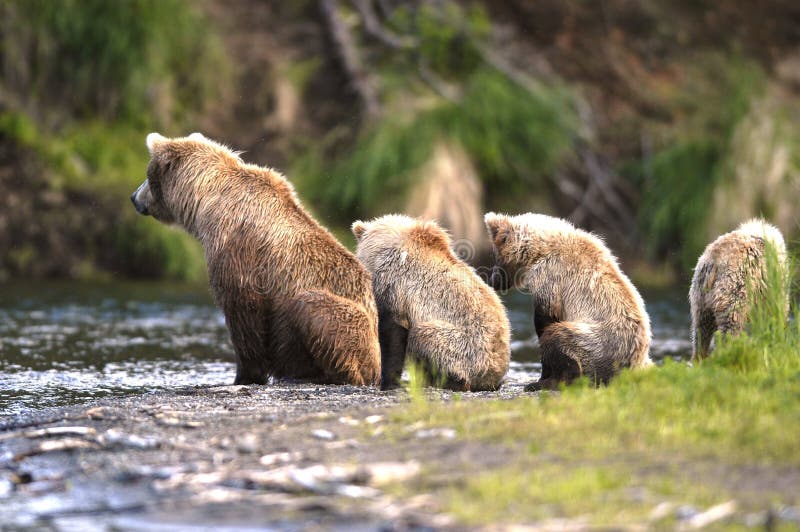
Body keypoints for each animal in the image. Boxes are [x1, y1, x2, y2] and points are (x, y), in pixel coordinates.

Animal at [130, 132, 380, 386]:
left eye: (147, 176)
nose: (134, 197)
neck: (206, 206)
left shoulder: (238, 249)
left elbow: (243, 311)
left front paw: (245, 375)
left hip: (355, 327)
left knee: (313, 307)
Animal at [351, 215, 511, 391]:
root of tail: (495, 374)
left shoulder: (393, 286)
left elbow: (393, 332)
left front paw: (388, 382)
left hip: (469, 348)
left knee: (424, 336)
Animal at [484, 212, 652, 390]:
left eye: (495, 256)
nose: (493, 280)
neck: (539, 250)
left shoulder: (550, 277)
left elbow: (545, 321)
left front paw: (542, 376)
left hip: (599, 343)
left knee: (558, 336)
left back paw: (547, 382)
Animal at [689, 218, 789, 361]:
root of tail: (714, 262)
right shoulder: (773, 285)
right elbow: (776, 313)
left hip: (700, 293)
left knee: (701, 330)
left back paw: (699, 358)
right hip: (736, 284)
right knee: (730, 324)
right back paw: (730, 353)